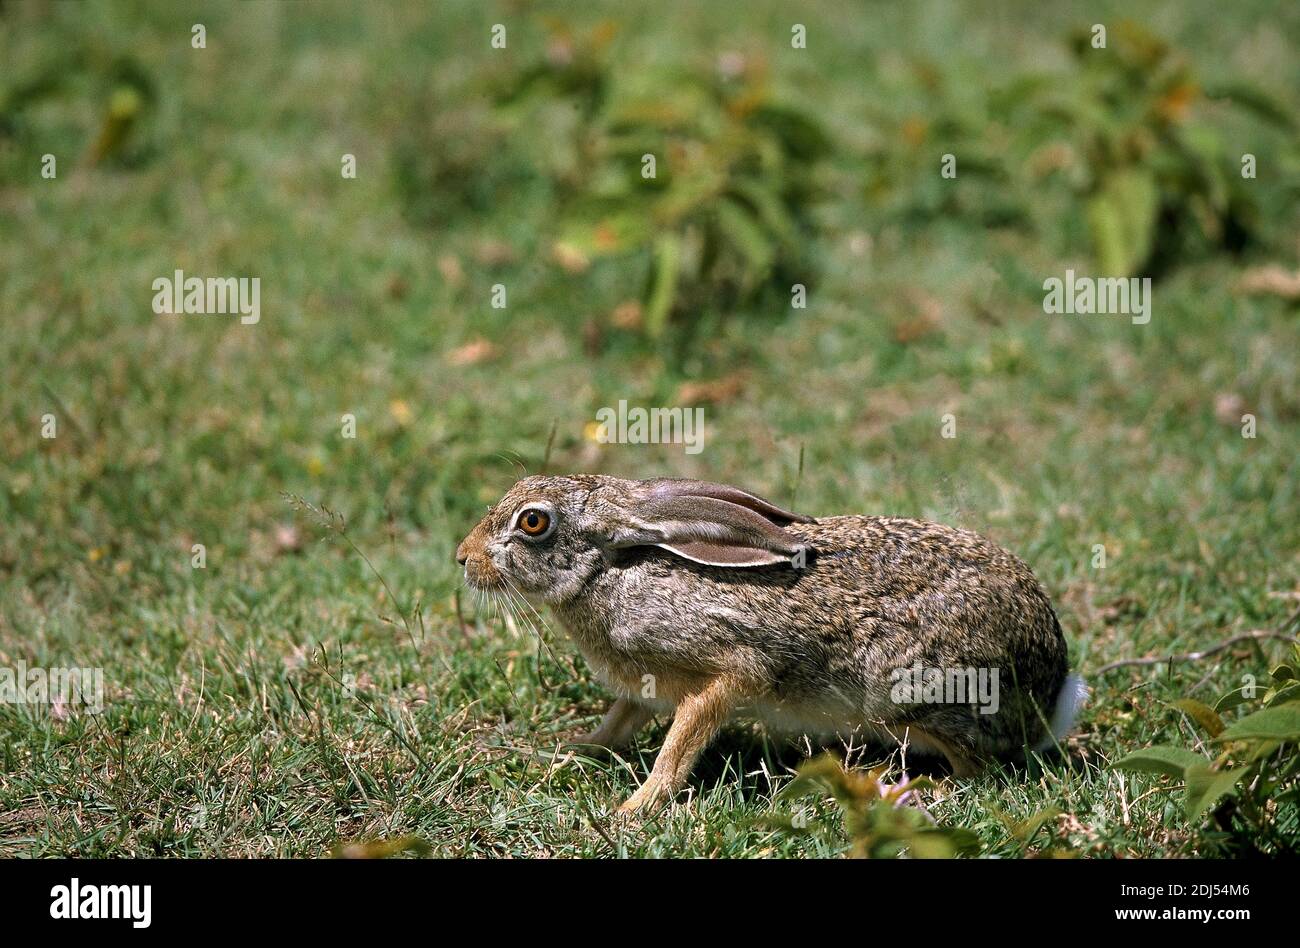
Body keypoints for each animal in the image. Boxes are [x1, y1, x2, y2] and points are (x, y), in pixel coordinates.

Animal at [456, 474, 1087, 813]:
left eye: (533, 522)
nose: (464, 558)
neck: (608, 572)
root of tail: (1051, 691)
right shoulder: (643, 686)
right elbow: (618, 720)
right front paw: (574, 749)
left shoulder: (730, 667)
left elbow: (682, 741)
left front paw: (638, 806)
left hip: (914, 693)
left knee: (978, 770)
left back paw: (907, 788)